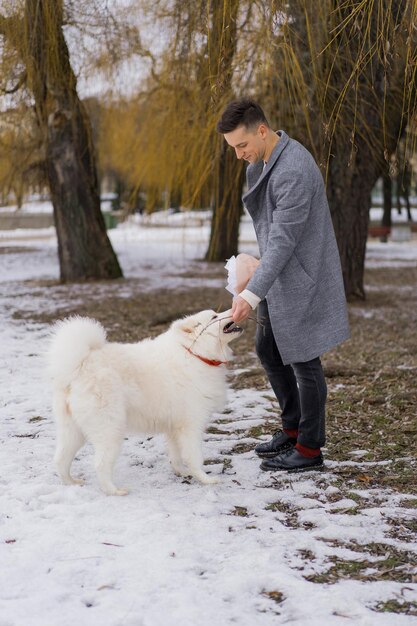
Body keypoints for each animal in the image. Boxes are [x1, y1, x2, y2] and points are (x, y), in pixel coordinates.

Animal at [48, 310, 244, 494]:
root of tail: (80, 365)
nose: (233, 310)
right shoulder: (191, 426)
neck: (195, 353)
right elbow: (194, 457)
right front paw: (205, 479)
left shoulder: (174, 428)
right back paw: (114, 491)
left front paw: (182, 472)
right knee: (100, 464)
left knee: (60, 459)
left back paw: (71, 482)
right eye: (214, 317)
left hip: (73, 430)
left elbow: (176, 456)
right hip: (110, 430)